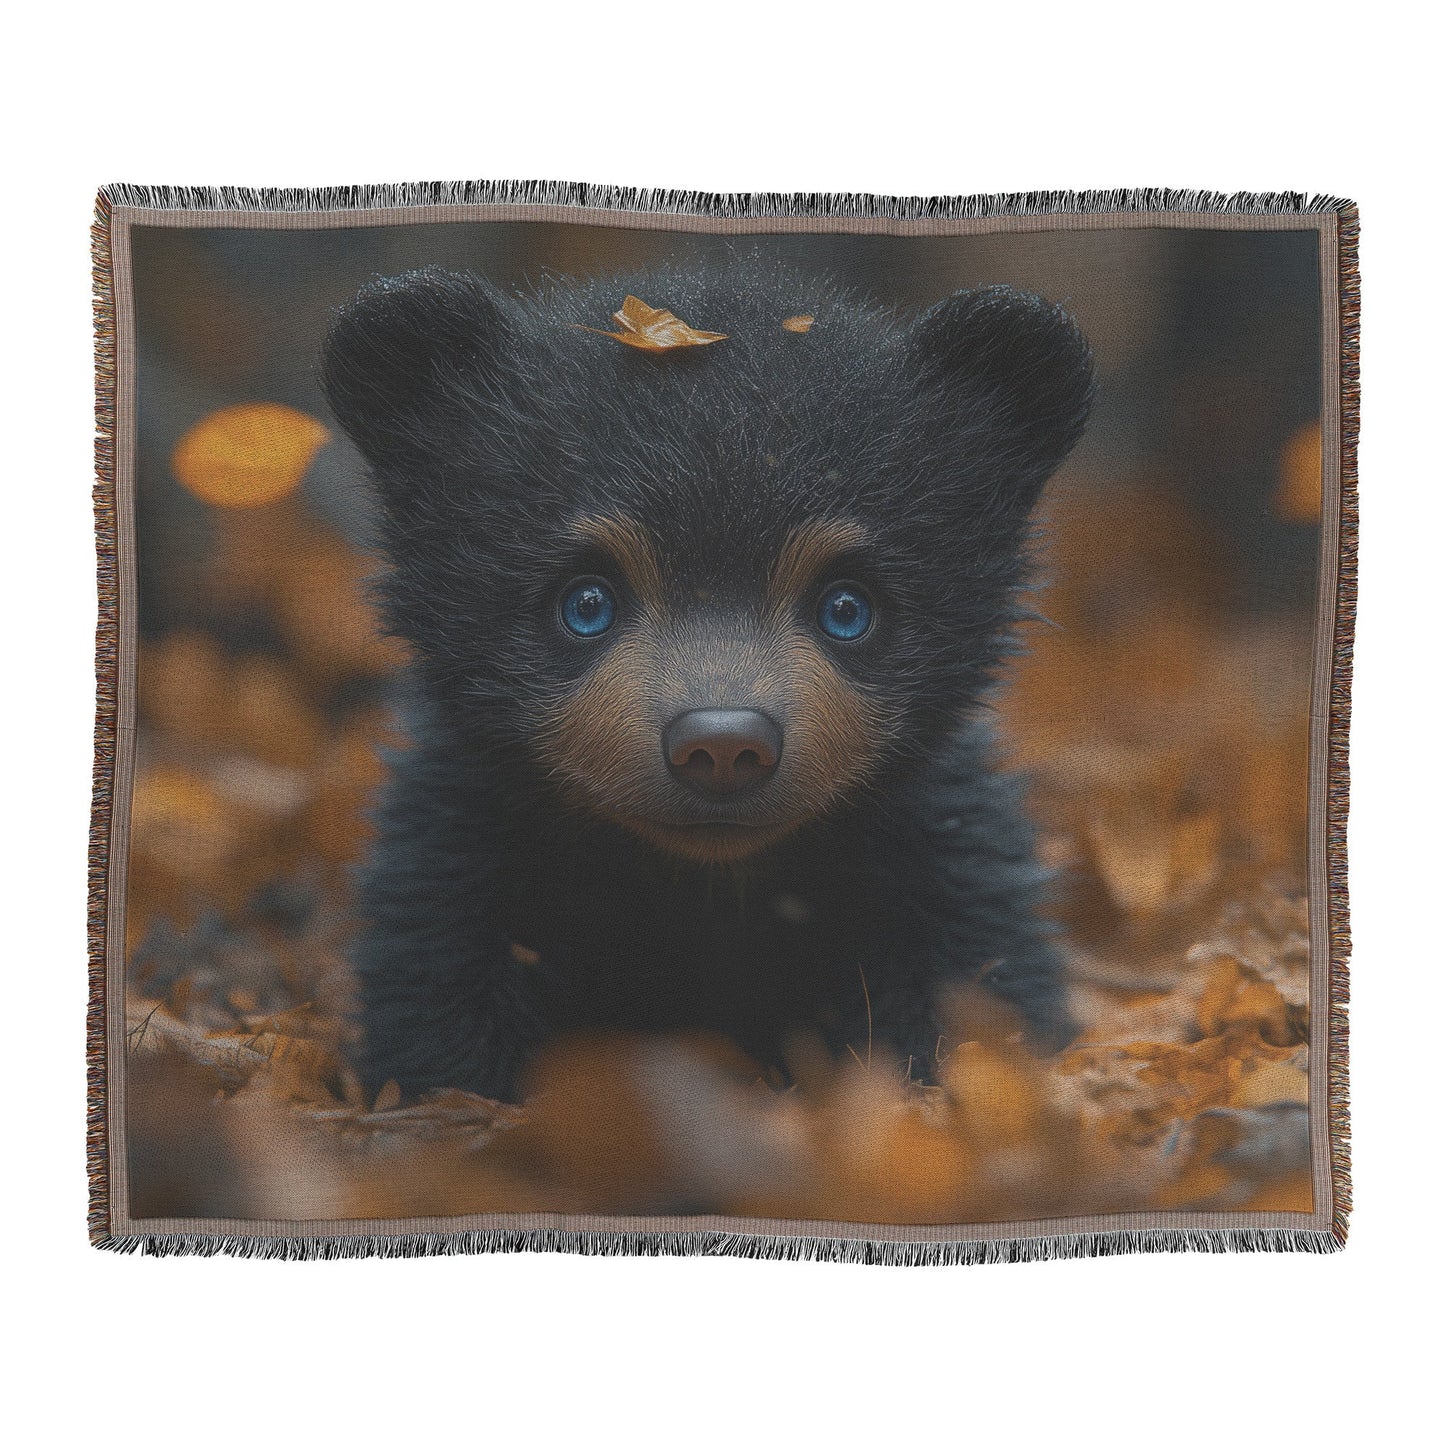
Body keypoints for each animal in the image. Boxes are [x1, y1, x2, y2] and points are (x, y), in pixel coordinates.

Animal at [319, 255, 1095, 1104]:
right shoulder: (464, 846)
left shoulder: (937, 849)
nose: (722, 744)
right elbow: (436, 987)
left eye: (846, 606)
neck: (709, 891)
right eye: (586, 601)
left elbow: (976, 975)